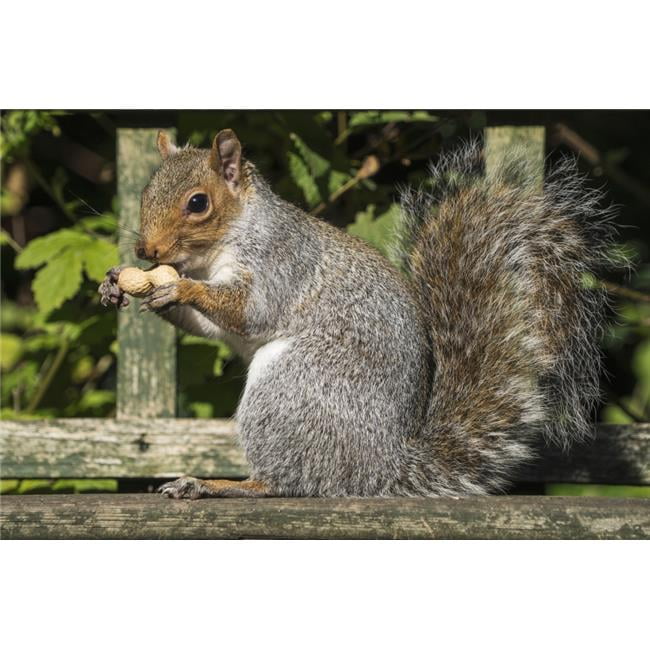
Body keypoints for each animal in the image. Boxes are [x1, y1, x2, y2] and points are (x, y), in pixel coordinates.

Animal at [99, 128, 616, 499]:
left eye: (198, 203)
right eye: (144, 193)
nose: (146, 250)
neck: (222, 245)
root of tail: (379, 469)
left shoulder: (279, 263)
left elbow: (249, 312)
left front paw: (178, 286)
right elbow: (211, 327)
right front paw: (118, 284)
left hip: (293, 385)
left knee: (287, 482)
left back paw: (217, 485)